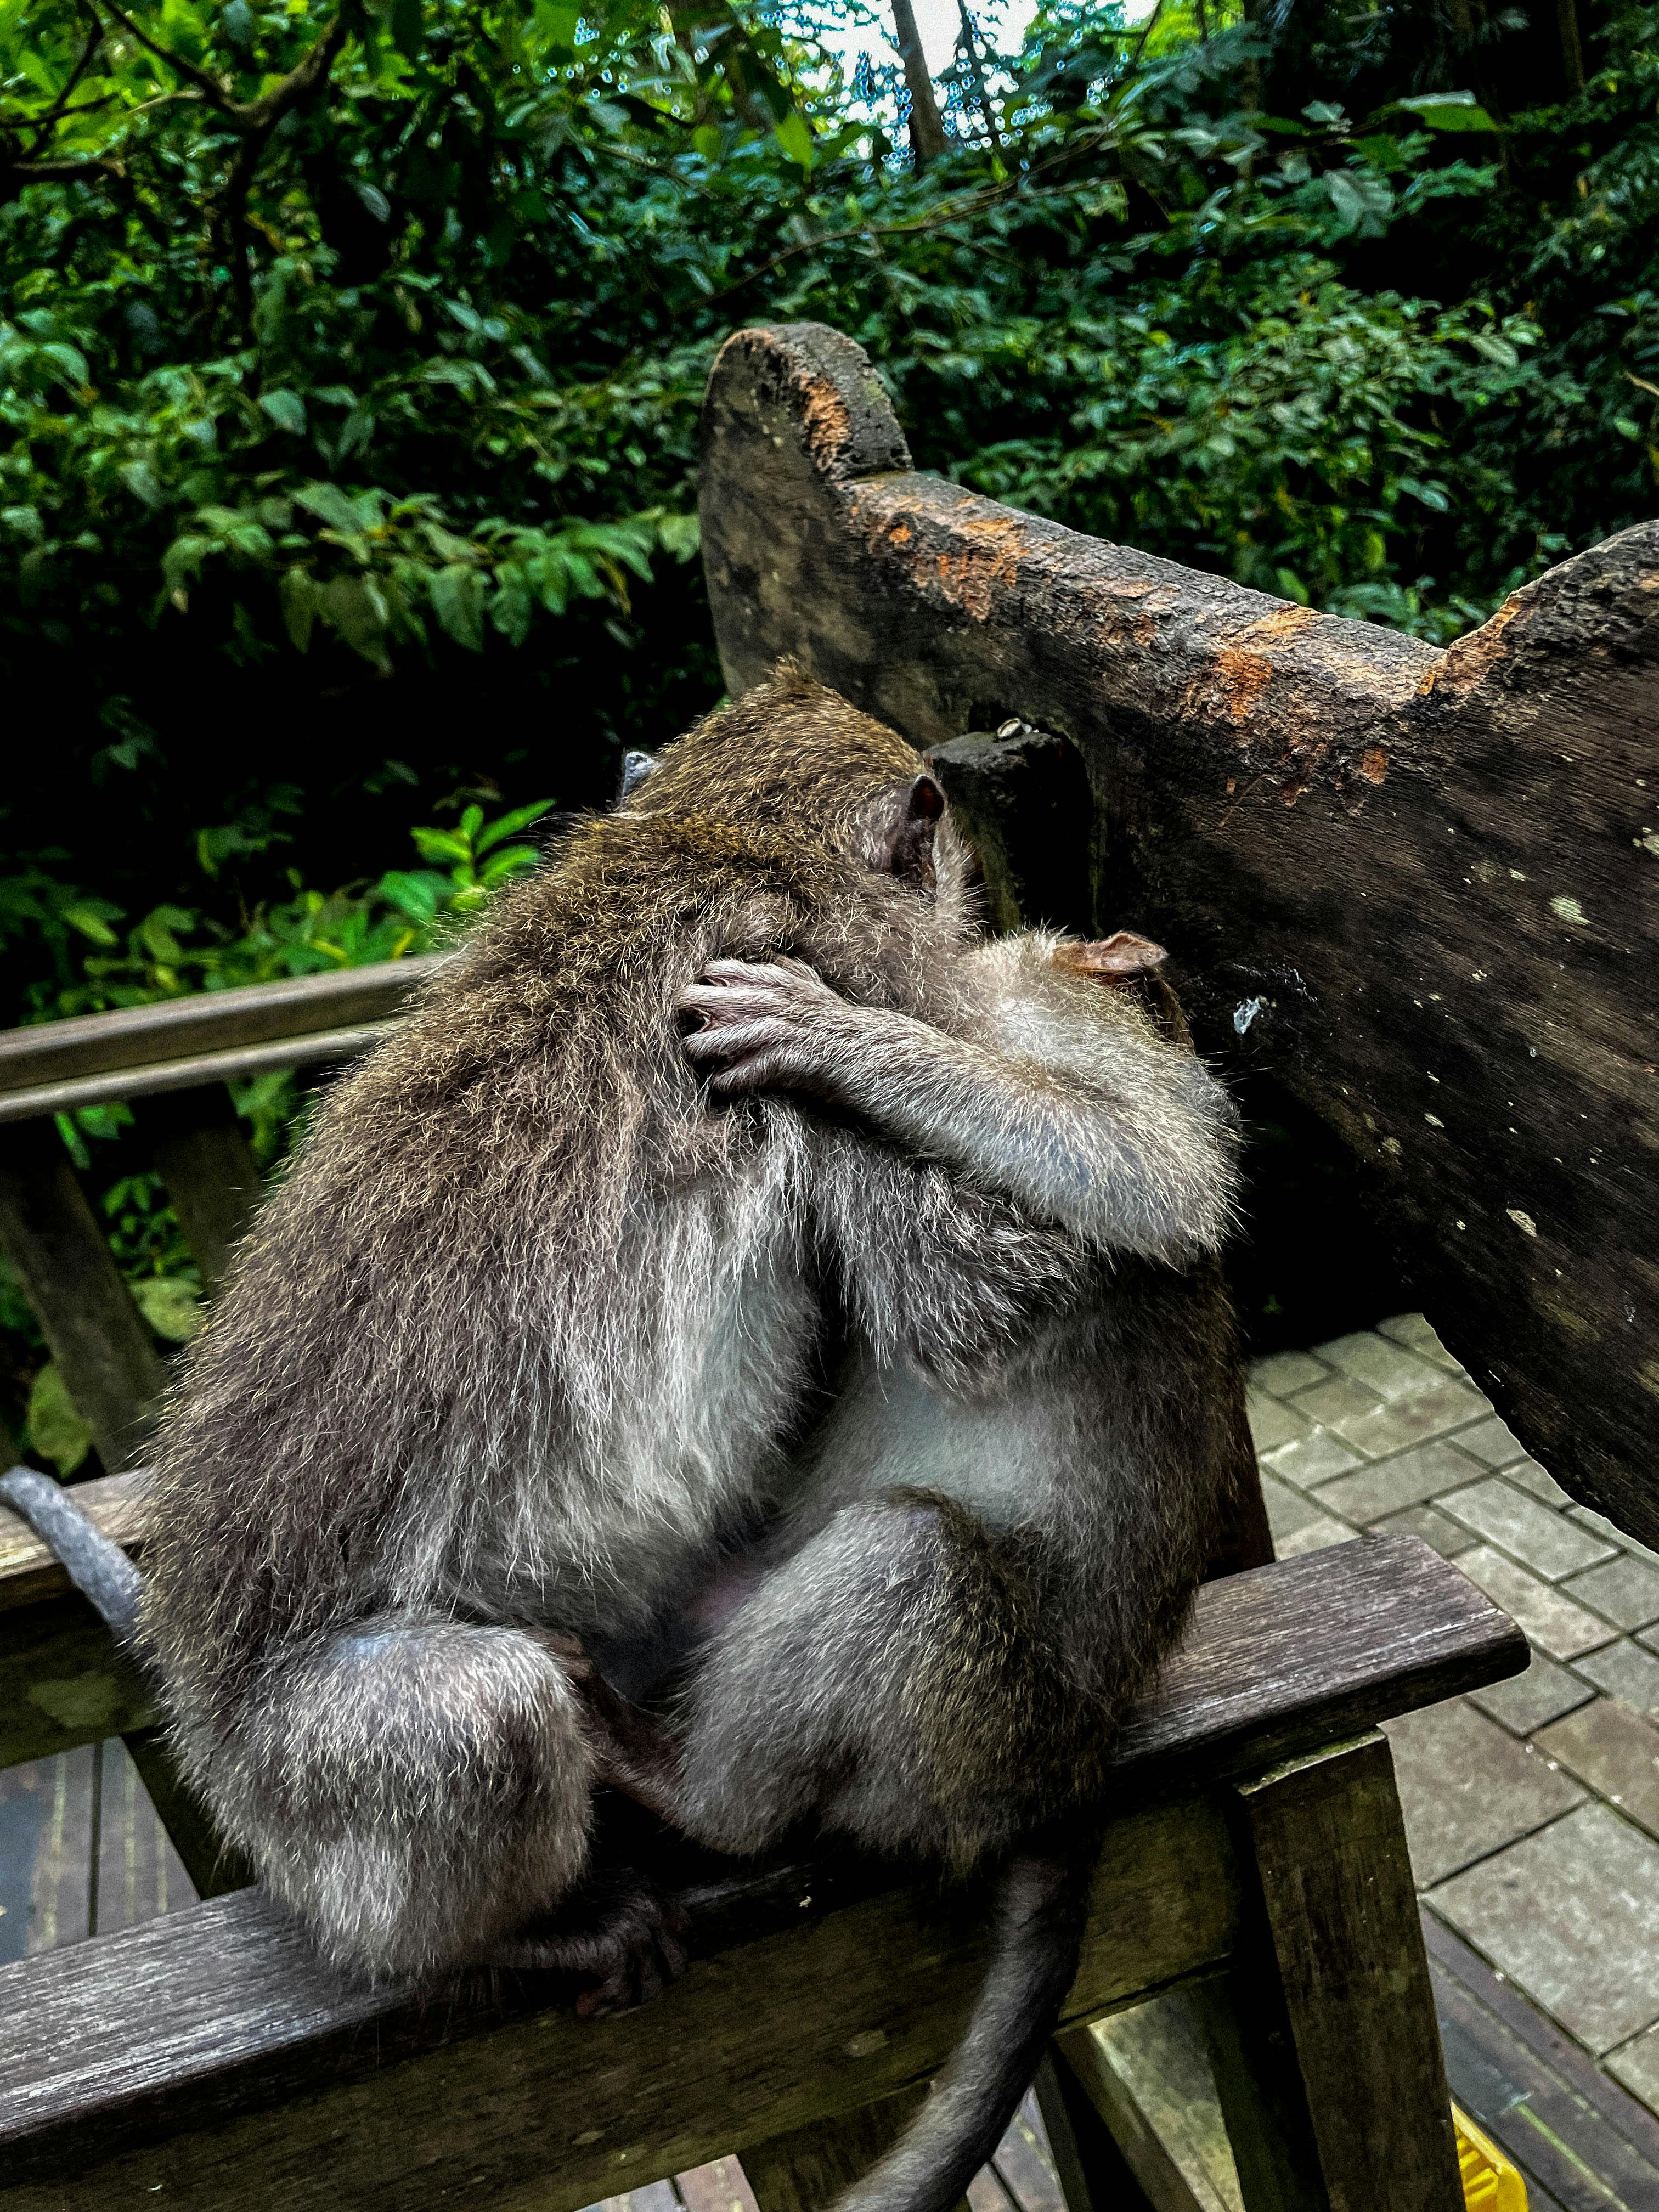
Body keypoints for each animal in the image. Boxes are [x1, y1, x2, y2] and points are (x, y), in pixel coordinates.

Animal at [0, 667, 1247, 2212]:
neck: (714, 840)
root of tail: (203, 1714)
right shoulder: (881, 970)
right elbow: (983, 1292)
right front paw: (853, 1055)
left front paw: (850, 1056)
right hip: (312, 1790)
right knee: (487, 1714)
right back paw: (523, 1931)